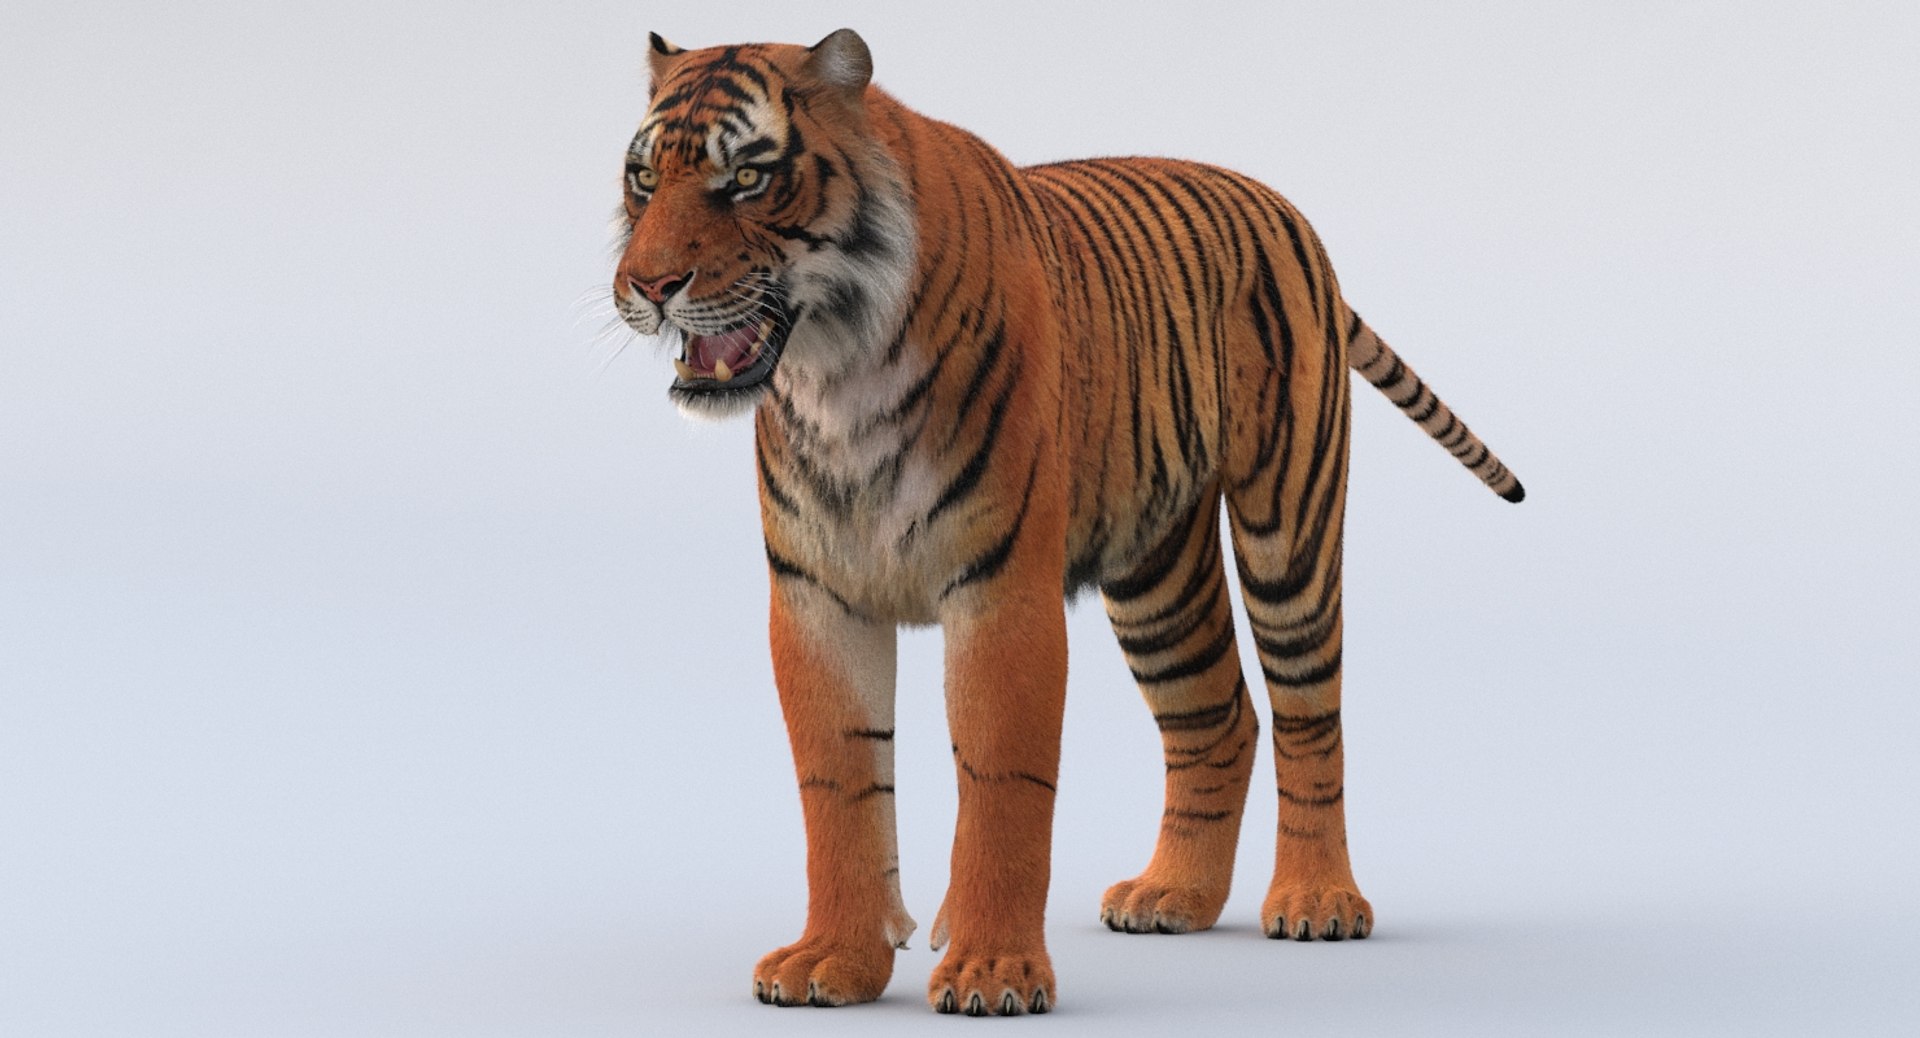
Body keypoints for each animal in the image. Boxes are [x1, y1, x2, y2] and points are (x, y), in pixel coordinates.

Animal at [612, 28, 1524, 1016]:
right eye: (642, 179)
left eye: (746, 178)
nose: (647, 285)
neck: (835, 378)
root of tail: (1281, 208)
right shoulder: (817, 598)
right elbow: (839, 783)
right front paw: (832, 960)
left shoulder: (1001, 593)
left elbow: (1001, 786)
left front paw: (991, 972)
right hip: (1158, 572)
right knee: (1218, 718)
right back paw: (1174, 895)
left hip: (1289, 530)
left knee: (1308, 713)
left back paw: (1317, 900)